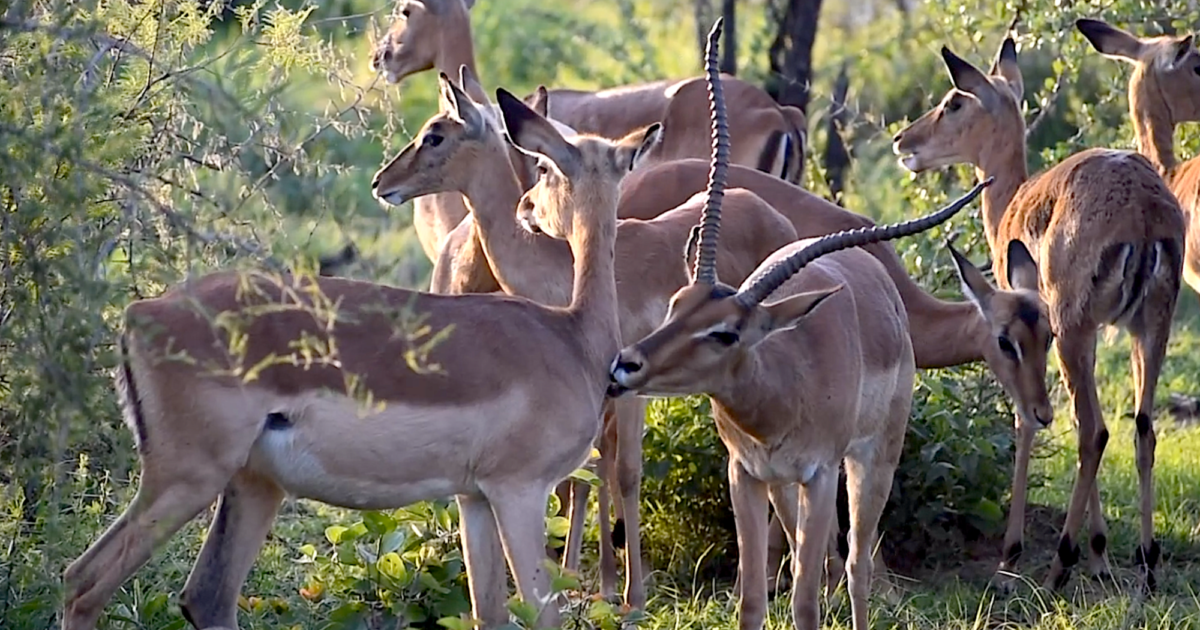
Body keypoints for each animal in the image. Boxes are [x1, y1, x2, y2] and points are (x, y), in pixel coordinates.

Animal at [59, 63, 653, 630]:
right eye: (546, 166)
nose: (527, 207)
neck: (571, 335)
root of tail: (142, 313)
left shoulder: (475, 497)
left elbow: (488, 613)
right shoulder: (518, 490)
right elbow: (543, 615)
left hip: (251, 483)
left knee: (200, 595)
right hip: (188, 477)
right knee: (83, 580)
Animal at [370, 36, 800, 605]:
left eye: (435, 134)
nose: (382, 182)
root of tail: (774, 213)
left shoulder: (632, 389)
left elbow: (625, 472)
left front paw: (629, 595)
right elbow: (587, 473)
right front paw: (588, 582)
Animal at [607, 113, 994, 630]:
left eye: (726, 333)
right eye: (677, 304)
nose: (627, 363)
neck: (783, 387)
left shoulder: (821, 475)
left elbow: (807, 601)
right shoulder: (745, 474)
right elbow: (753, 600)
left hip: (872, 459)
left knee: (856, 563)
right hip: (782, 484)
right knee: (798, 552)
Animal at [892, 36, 1185, 594]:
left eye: (955, 101)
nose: (903, 141)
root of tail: (1145, 211)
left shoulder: (1030, 328)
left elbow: (1029, 420)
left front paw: (1013, 557)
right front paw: (1101, 556)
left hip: (1077, 328)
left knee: (1094, 430)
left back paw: (1058, 566)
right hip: (1148, 328)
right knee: (1142, 426)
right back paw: (1146, 565)